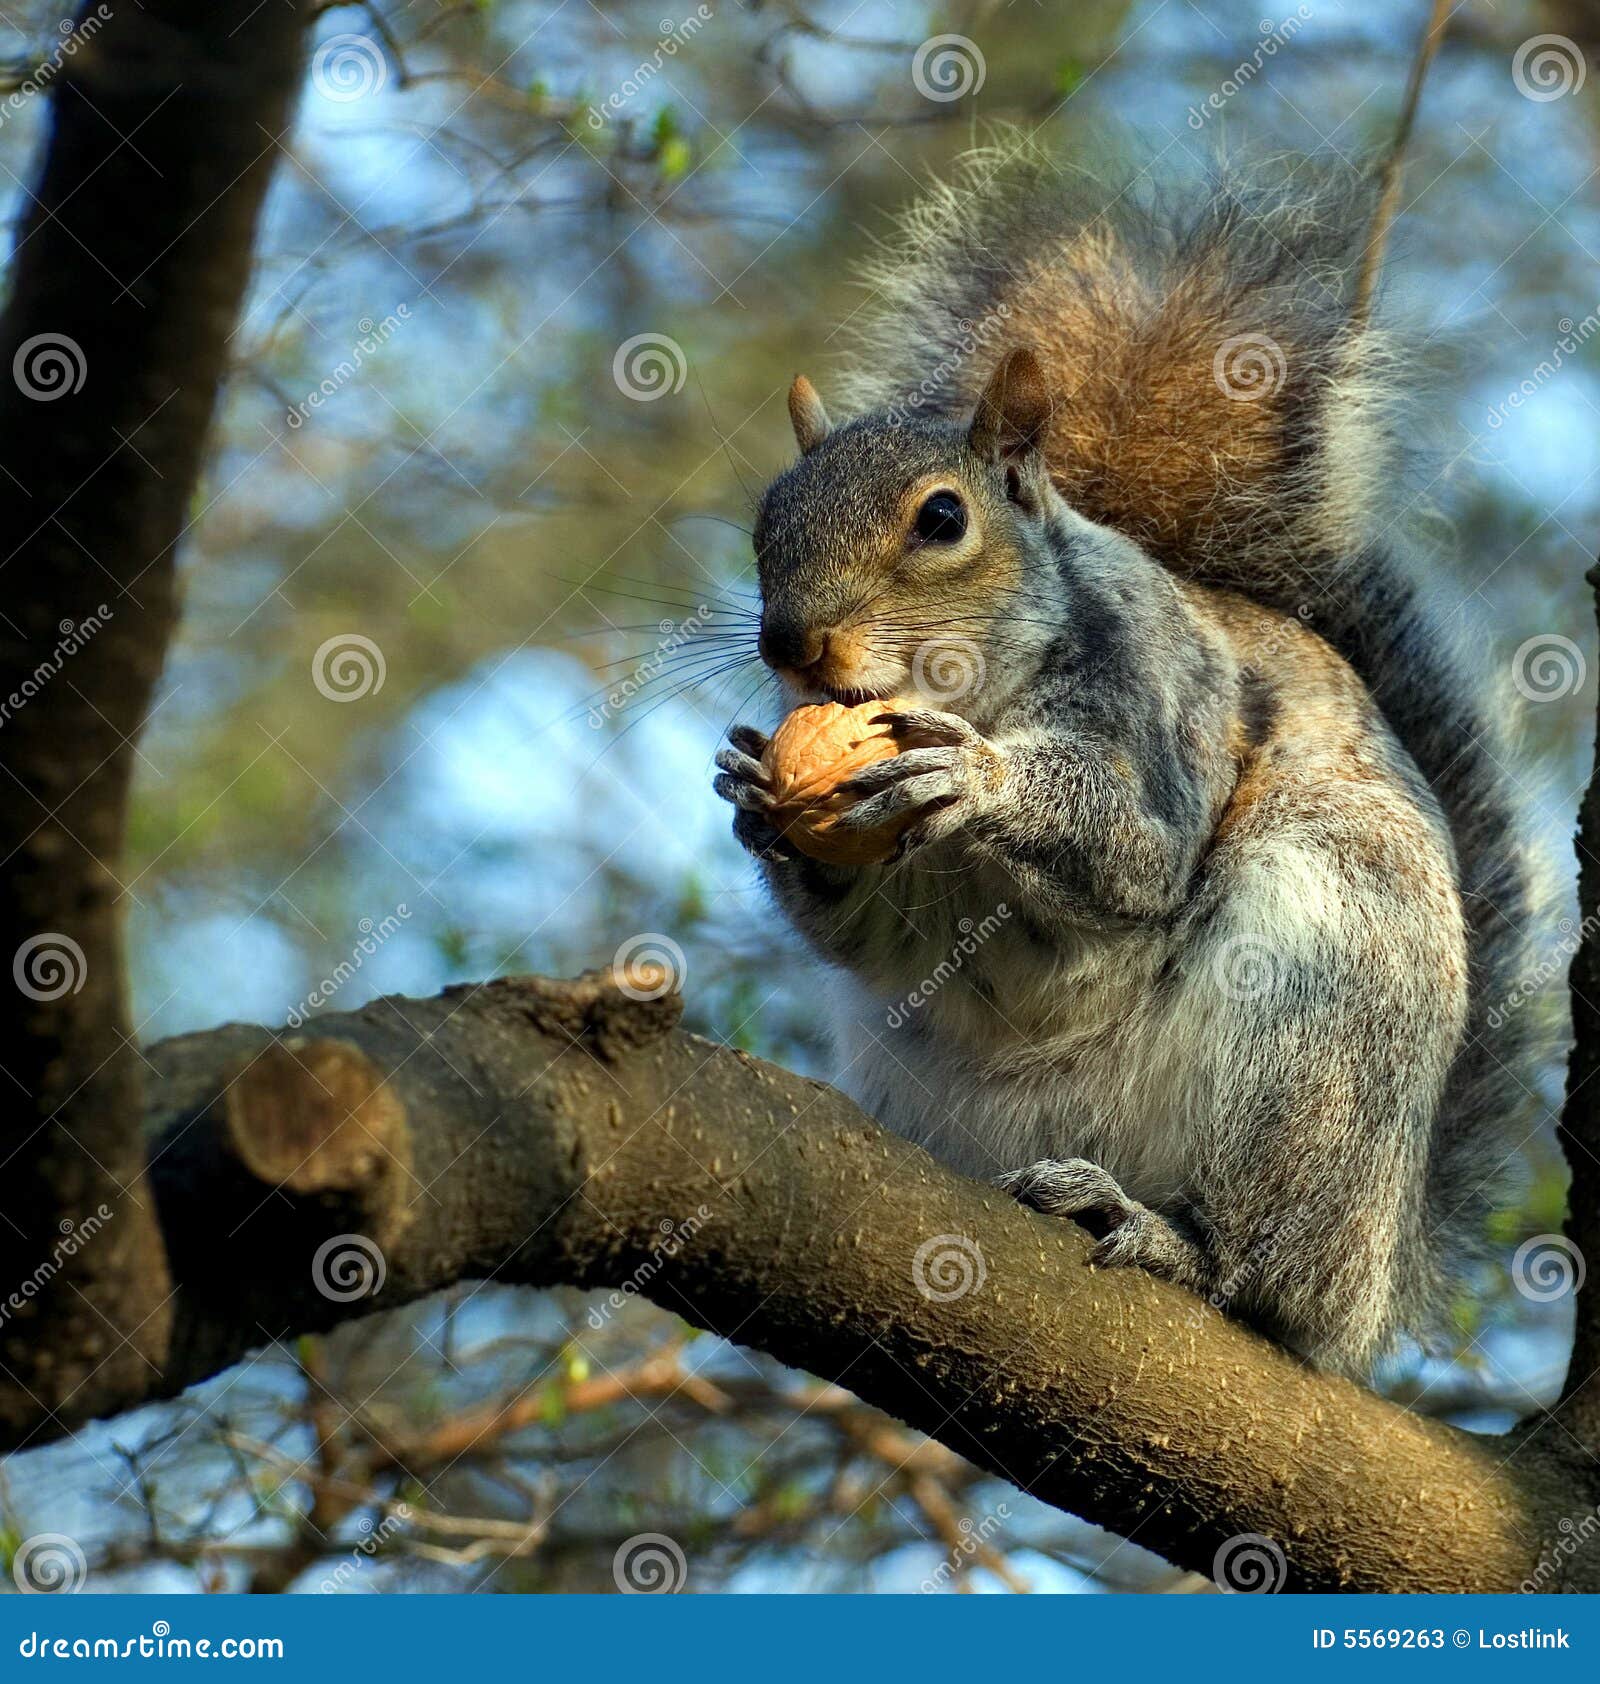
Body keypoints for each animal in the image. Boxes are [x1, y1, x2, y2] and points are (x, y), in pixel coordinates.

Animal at [712, 140, 1554, 1378]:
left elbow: (1138, 856)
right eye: (764, 524)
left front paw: (980, 780)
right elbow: (875, 937)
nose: (790, 644)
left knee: (1264, 1270)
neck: (987, 690)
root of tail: (1375, 1282)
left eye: (941, 519)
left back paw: (1171, 1239)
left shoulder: (1168, 710)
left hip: (1320, 1038)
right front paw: (759, 798)